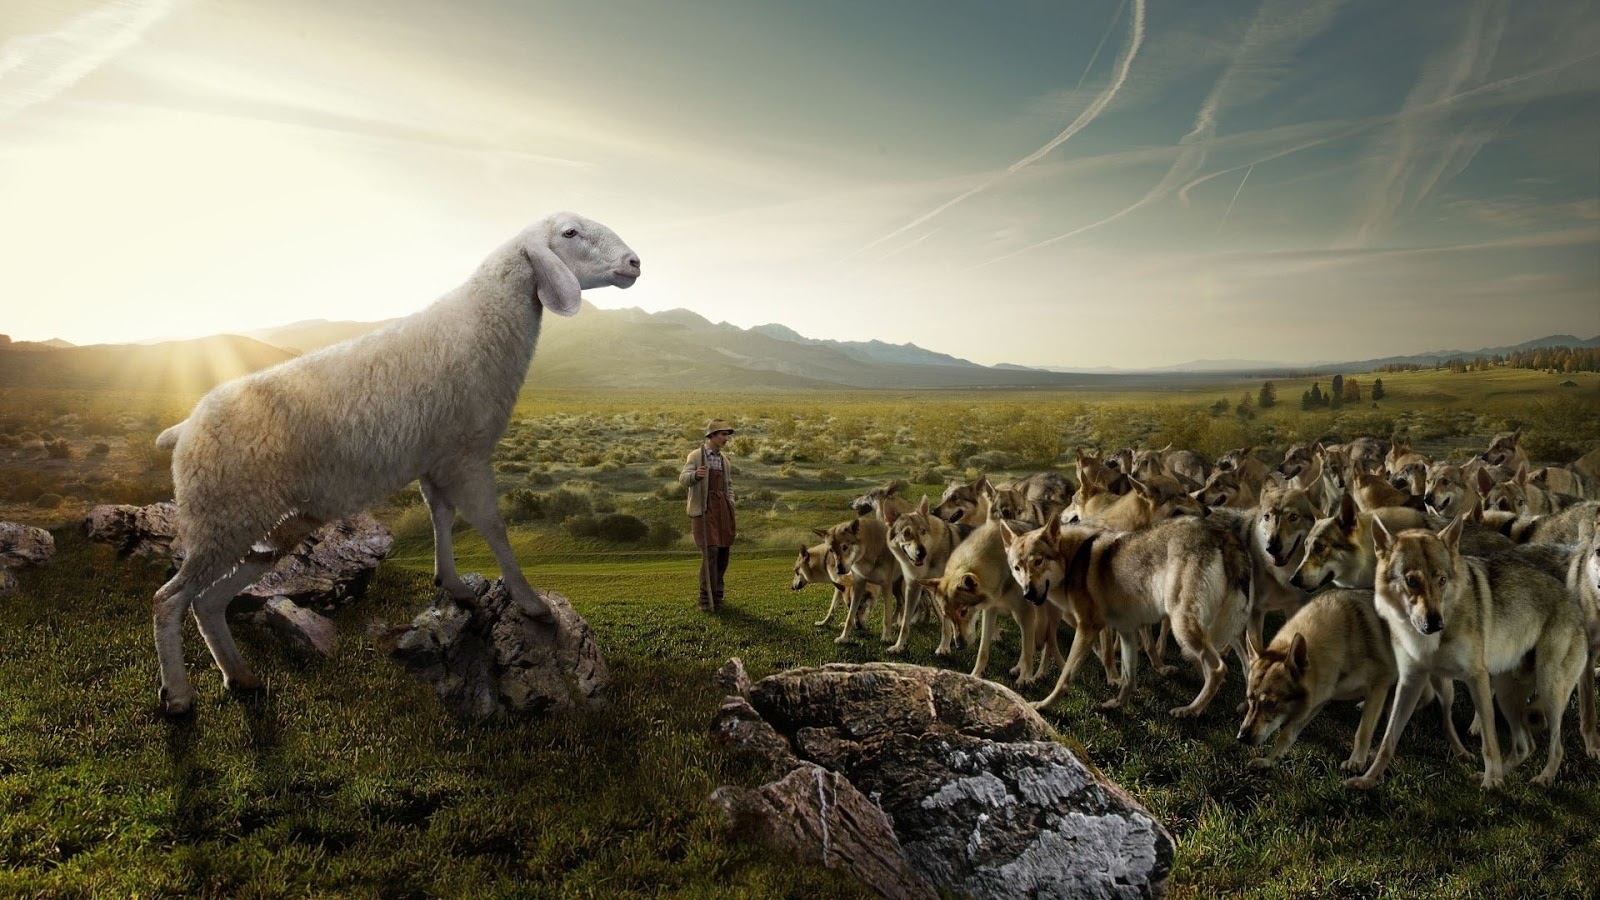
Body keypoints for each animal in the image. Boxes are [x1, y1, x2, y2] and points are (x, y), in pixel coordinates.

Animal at [883, 495, 971, 655]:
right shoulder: (912, 589)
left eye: (923, 531)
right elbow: (905, 623)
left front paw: (944, 648)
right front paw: (898, 646)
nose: (921, 552)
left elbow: (945, 626)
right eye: (906, 533)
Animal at [1009, 515, 1251, 717]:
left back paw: (1190, 710)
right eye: (1017, 568)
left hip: (1184, 629)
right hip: (1231, 632)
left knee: (1219, 669)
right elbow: (1128, 676)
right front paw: (1117, 704)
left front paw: (1042, 705)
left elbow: (1065, 677)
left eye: (1037, 561)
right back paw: (1246, 708)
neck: (1073, 559)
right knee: (1250, 664)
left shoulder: (1087, 628)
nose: (1027, 593)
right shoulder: (1127, 630)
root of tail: (1221, 533)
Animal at [1236, 589, 1397, 771]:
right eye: (1249, 699)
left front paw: (1356, 761)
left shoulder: (1380, 684)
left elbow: (1363, 731)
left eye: (1270, 704)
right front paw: (1269, 760)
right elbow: (1286, 735)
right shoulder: (1317, 699)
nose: (1241, 737)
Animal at [1346, 515, 1588, 790]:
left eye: (1441, 580)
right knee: (1525, 746)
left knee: (1557, 746)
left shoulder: (1477, 677)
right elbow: (1388, 740)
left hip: (1548, 692)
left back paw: (1542, 777)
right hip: (1506, 695)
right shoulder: (1410, 681)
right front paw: (1368, 778)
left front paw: (1492, 781)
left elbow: (1489, 742)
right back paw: (1493, 775)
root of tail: (1576, 604)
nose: (1434, 623)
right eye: (1411, 581)